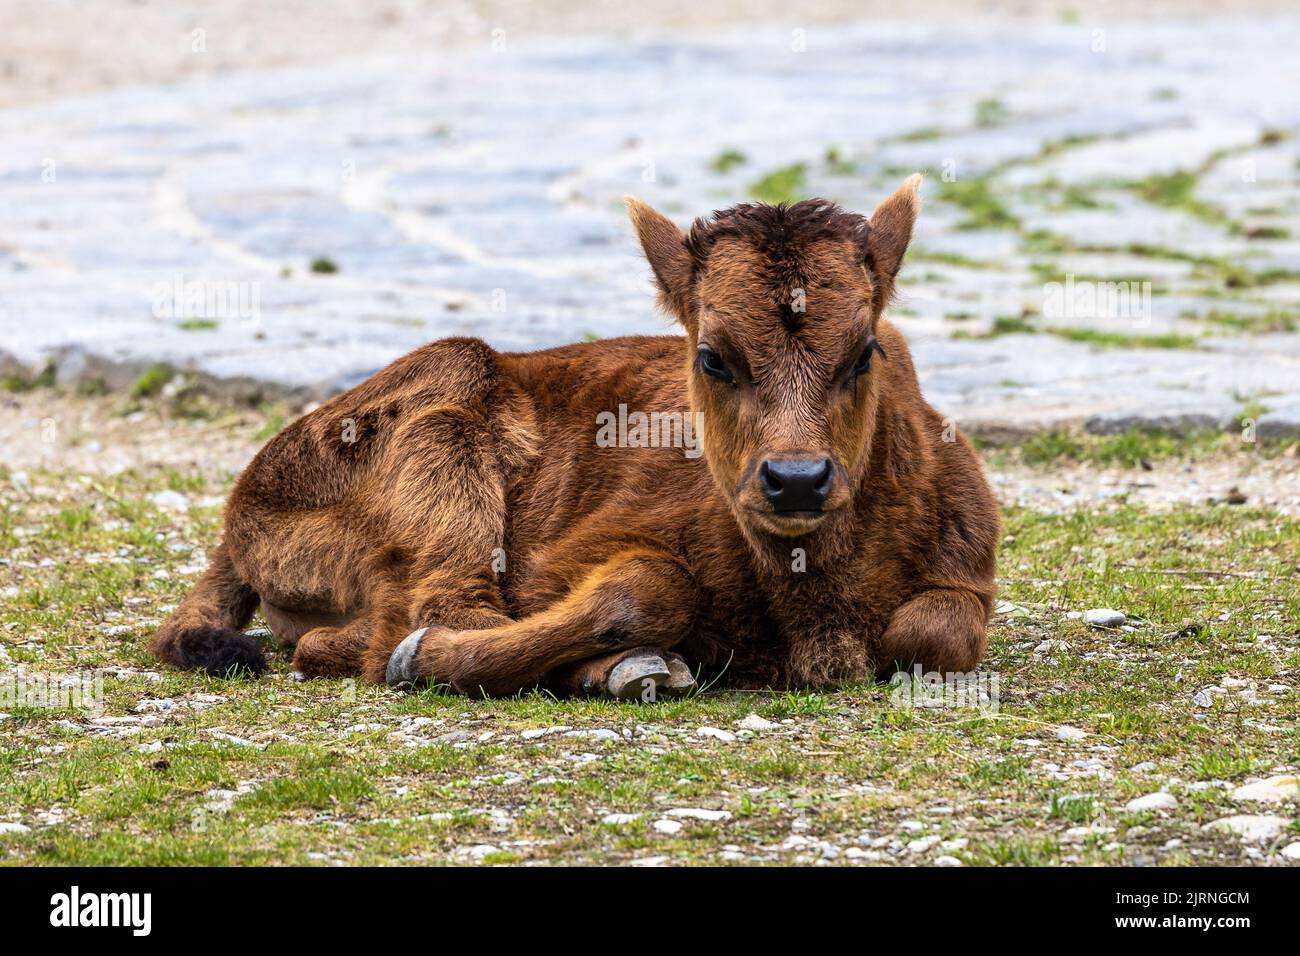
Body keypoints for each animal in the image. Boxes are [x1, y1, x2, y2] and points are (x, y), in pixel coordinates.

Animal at [151, 175, 1000, 699]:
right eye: (712, 356)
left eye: (865, 350)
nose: (796, 479)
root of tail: (242, 503)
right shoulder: (560, 562)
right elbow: (649, 587)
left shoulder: (967, 580)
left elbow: (934, 632)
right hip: (443, 428)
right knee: (411, 614)